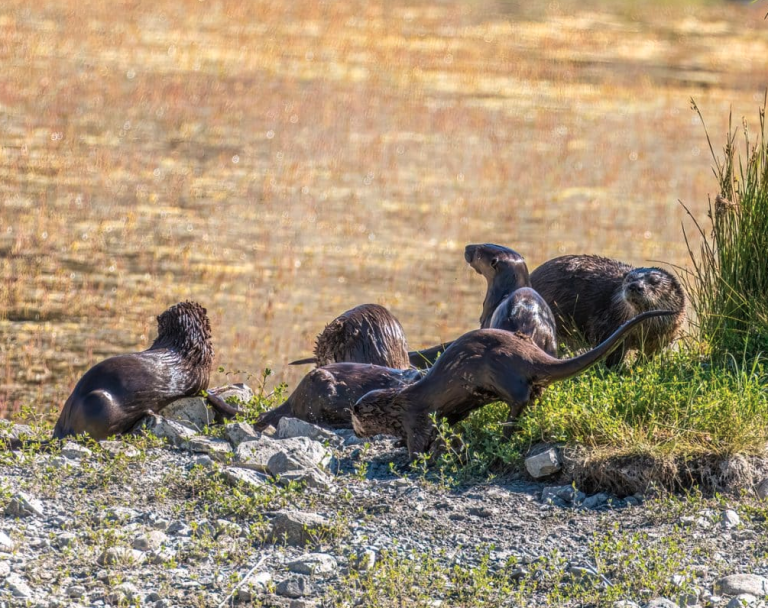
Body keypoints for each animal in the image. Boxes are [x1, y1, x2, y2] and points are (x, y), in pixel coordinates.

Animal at [351, 310, 676, 456]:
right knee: (535, 395)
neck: (397, 404)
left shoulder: (414, 415)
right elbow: (446, 422)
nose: (354, 432)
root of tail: (529, 354)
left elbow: (418, 440)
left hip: (500, 370)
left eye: (354, 418)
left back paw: (505, 434)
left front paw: (407, 456)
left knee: (519, 399)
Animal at [529, 255, 686, 368]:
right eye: (629, 279)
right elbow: (611, 354)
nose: (635, 286)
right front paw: (617, 370)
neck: (644, 330)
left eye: (654, 281)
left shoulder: (662, 338)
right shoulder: (607, 325)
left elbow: (648, 356)